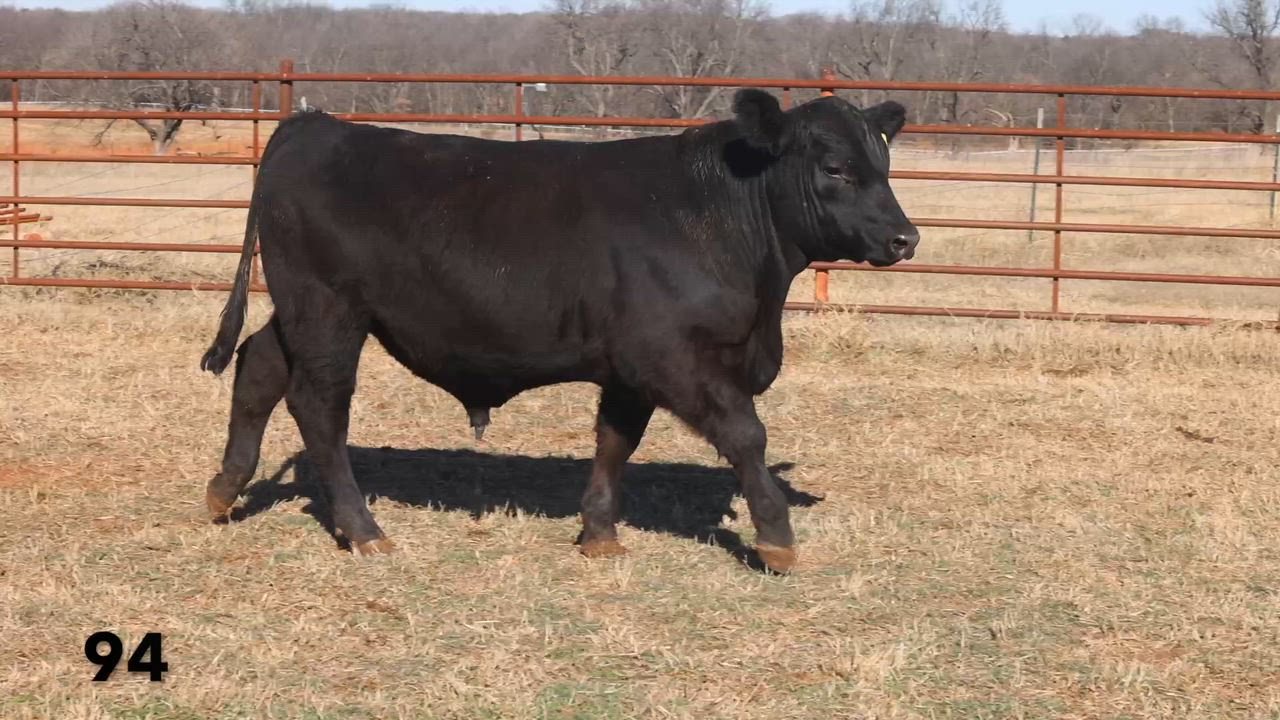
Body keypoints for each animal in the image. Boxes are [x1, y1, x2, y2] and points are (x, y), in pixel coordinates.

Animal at [199, 88, 919, 573]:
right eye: (833, 166)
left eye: (883, 163)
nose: (905, 237)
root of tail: (317, 126)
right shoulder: (674, 357)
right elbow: (746, 434)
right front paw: (777, 538)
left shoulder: (628, 366)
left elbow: (615, 441)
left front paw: (599, 533)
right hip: (329, 312)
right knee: (319, 407)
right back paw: (363, 528)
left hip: (299, 311)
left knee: (259, 366)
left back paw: (225, 490)